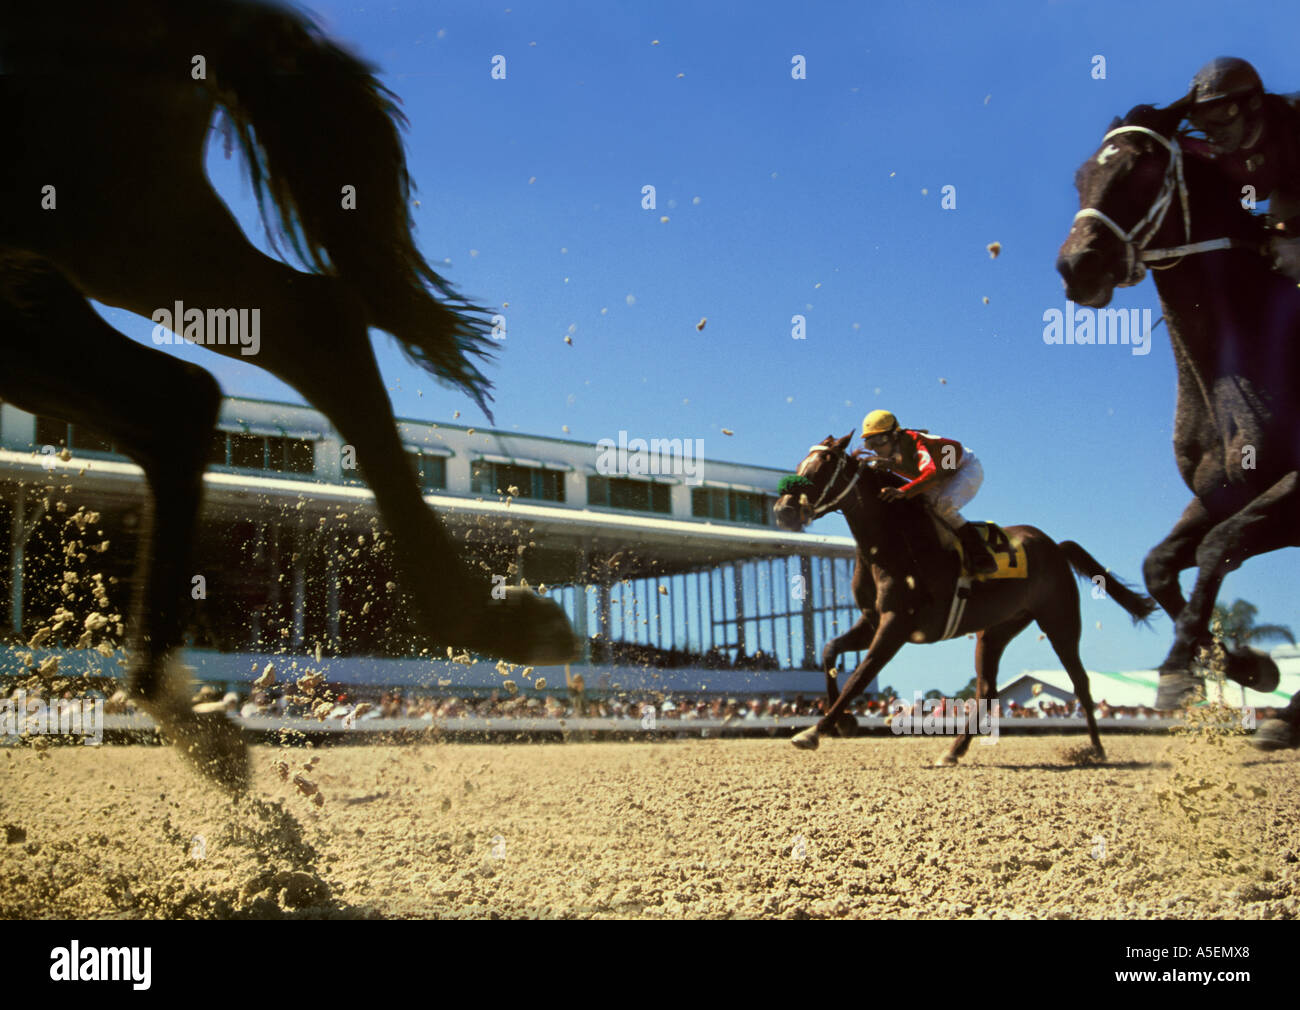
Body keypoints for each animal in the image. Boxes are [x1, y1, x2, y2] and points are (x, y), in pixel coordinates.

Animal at [773, 434, 1157, 764]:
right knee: (987, 690)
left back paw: (1096, 749)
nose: (783, 511)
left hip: (1059, 620)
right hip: (997, 629)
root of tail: (1055, 546)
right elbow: (829, 652)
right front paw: (844, 722)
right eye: (801, 463)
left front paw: (815, 731)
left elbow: (861, 675)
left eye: (820, 468)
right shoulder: (872, 619)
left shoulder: (897, 624)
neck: (892, 539)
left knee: (1080, 682)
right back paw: (954, 750)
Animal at [1056, 103, 1299, 747]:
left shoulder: (1291, 495)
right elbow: (1160, 565)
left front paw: (1175, 672)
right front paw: (1249, 665)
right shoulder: (1219, 494)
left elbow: (1219, 545)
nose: (1075, 266)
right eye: (1082, 176)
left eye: (1140, 172)